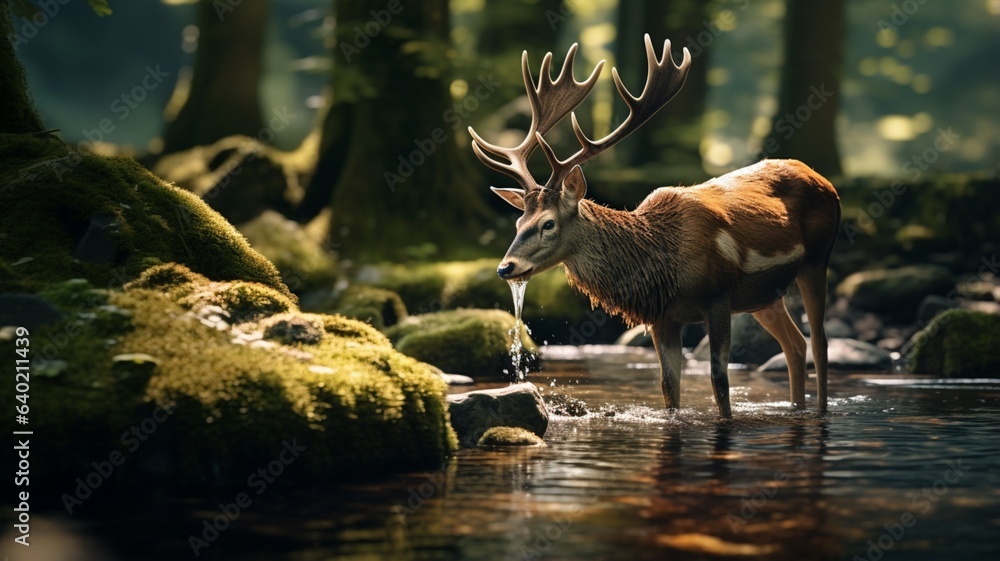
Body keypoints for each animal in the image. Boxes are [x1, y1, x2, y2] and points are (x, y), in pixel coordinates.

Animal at [468, 35, 841, 419]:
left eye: (548, 223)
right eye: (518, 220)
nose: (505, 267)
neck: (663, 266)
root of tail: (824, 180)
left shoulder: (719, 294)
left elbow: (719, 380)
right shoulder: (663, 317)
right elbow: (668, 388)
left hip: (818, 257)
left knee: (820, 344)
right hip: (764, 295)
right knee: (795, 345)